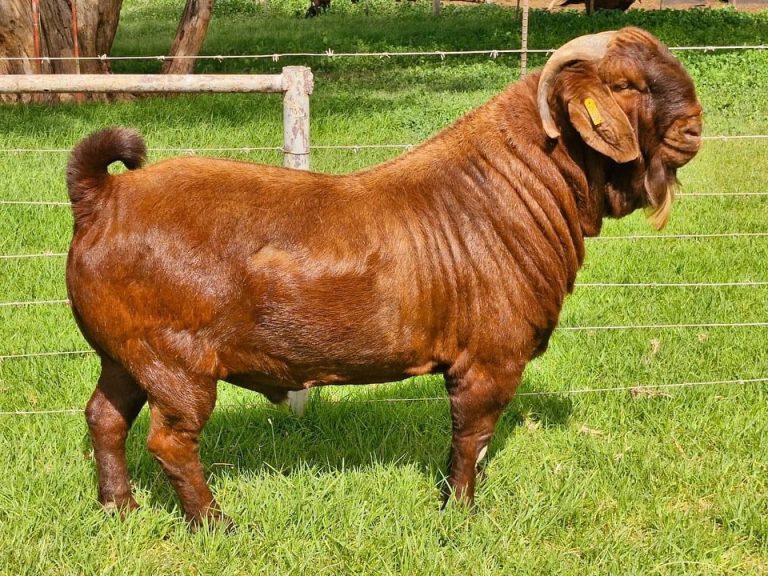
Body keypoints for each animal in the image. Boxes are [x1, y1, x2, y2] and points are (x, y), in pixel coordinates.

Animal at [67, 27, 702, 527]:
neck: (505, 188)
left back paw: (118, 507)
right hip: (173, 360)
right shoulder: (490, 359)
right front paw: (461, 515)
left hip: (125, 354)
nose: (694, 129)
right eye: (627, 85)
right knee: (170, 440)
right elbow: (472, 438)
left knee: (104, 418)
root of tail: (103, 197)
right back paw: (216, 523)